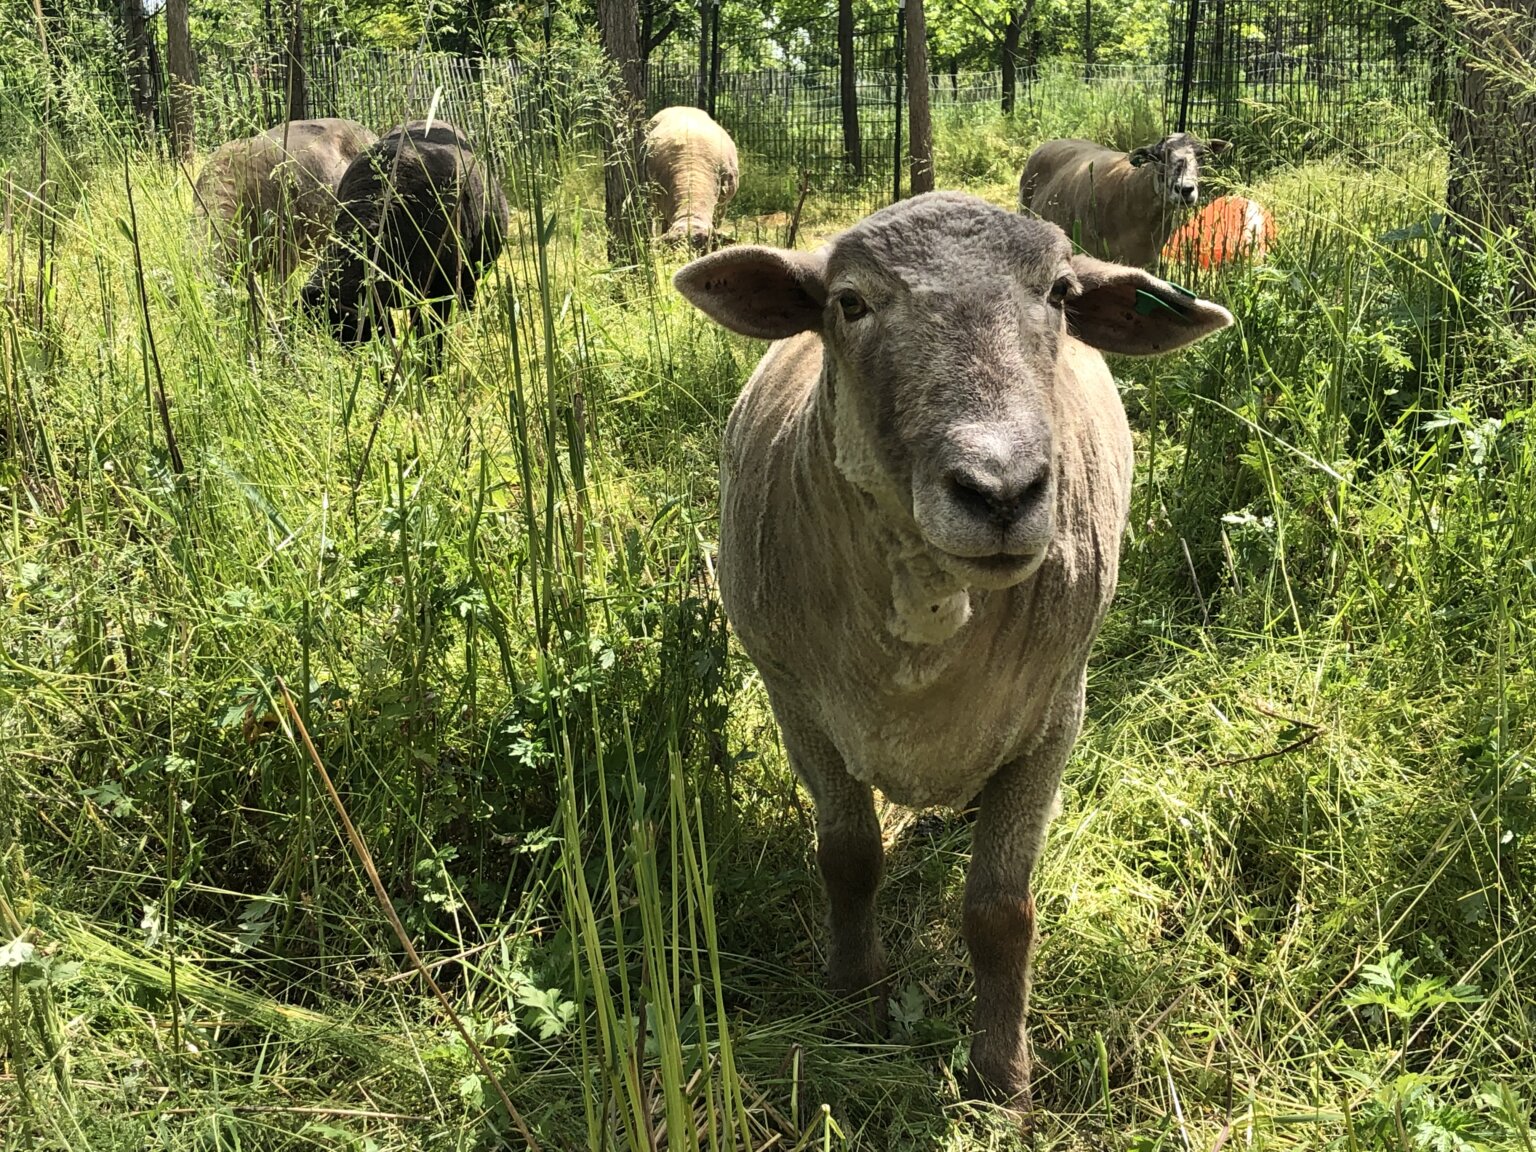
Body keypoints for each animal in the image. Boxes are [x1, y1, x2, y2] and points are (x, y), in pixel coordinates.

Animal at [673, 192, 1232, 1114]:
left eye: (1061, 295)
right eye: (849, 302)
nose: (1000, 492)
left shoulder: (1053, 715)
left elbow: (1000, 912)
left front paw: (1000, 1074)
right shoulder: (797, 703)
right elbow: (849, 859)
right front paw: (855, 998)